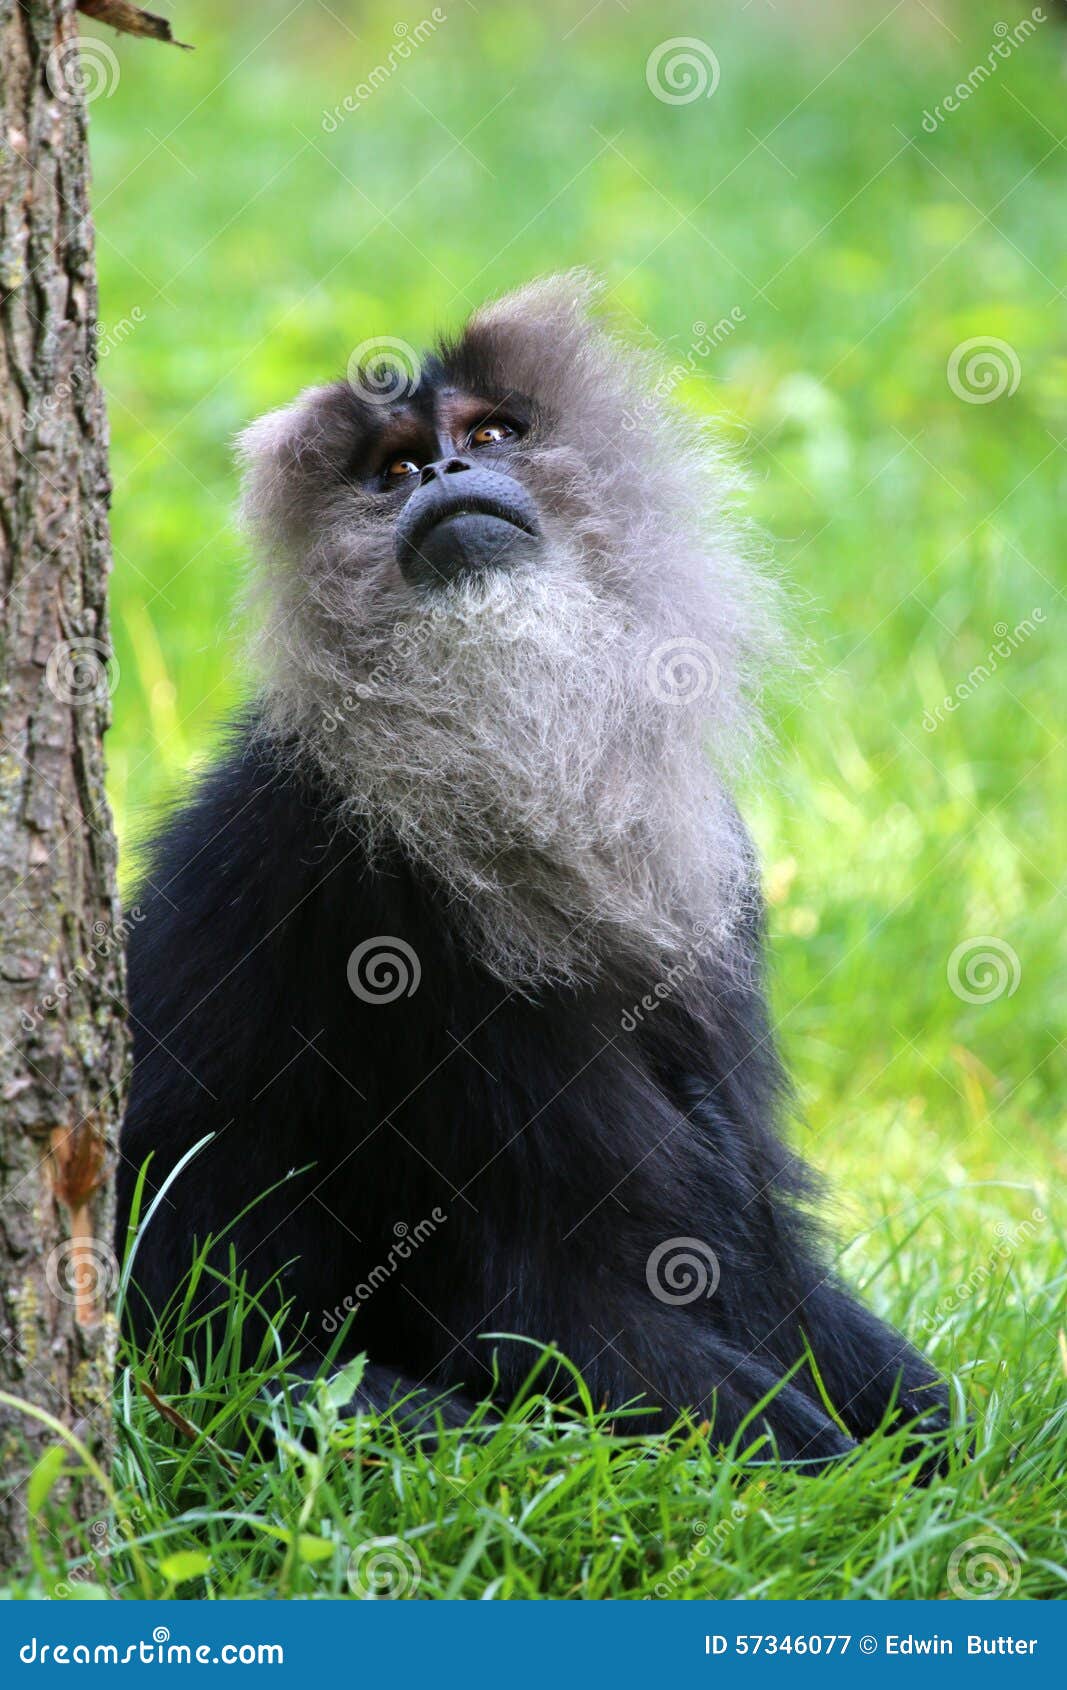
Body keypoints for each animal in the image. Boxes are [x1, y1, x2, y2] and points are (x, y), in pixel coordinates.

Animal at [117, 275, 949, 1465]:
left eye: (490, 435)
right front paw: (840, 1478)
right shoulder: (395, 925)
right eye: (395, 468)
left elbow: (754, 1229)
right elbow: (545, 1293)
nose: (445, 477)